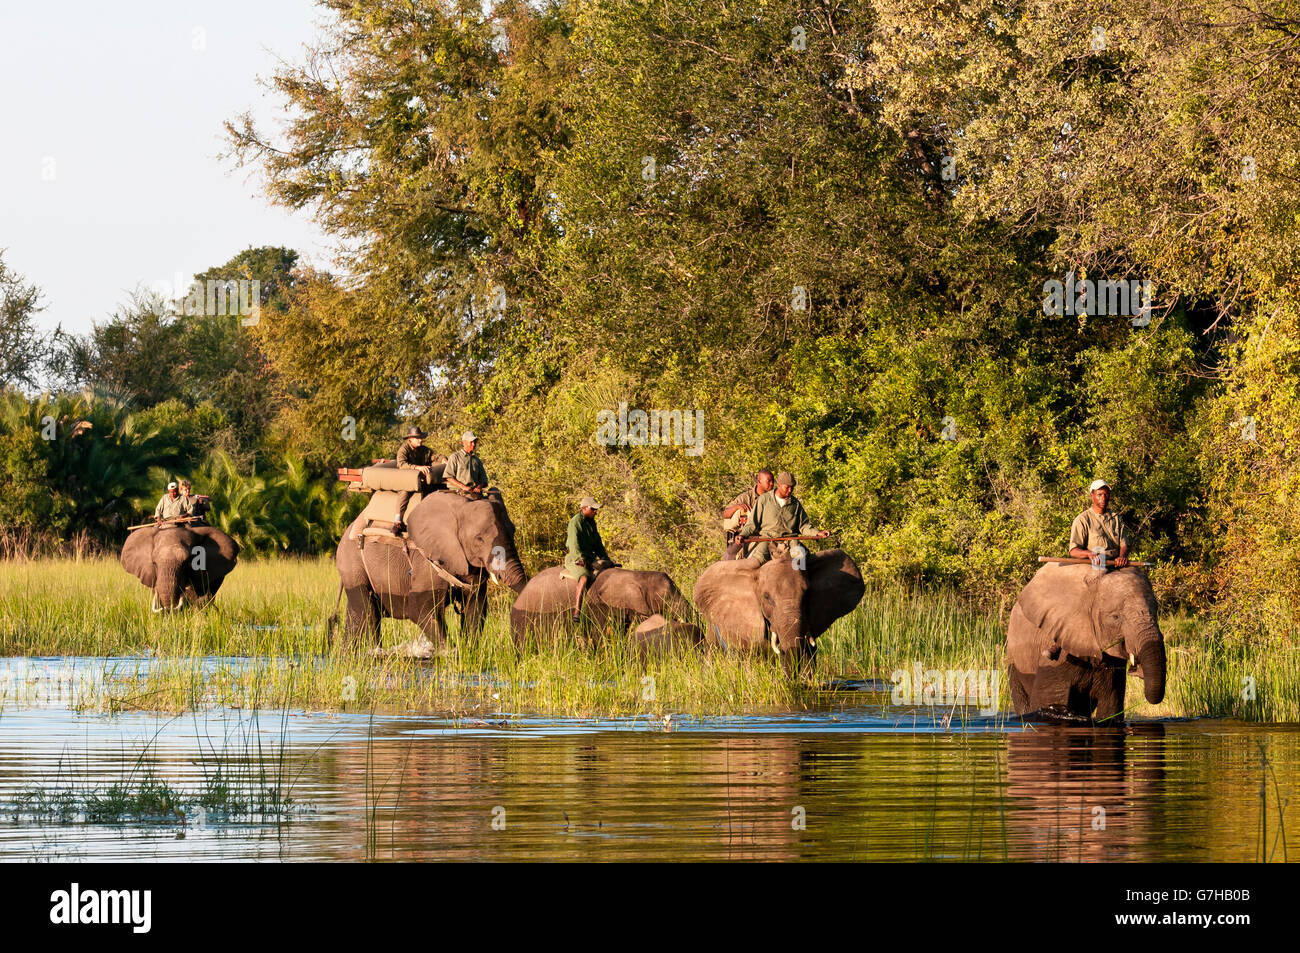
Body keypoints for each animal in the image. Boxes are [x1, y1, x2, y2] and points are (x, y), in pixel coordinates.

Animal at [335, 489, 527, 649]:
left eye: (513, 531)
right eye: (479, 539)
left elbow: (475, 609)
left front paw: (468, 653)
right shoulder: (425, 559)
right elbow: (420, 609)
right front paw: (450, 654)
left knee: (357, 614)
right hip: (352, 561)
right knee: (368, 613)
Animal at [1005, 563, 1166, 723]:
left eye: (1156, 611)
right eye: (1115, 617)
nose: (1136, 670)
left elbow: (1110, 709)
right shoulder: (1055, 654)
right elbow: (1045, 703)